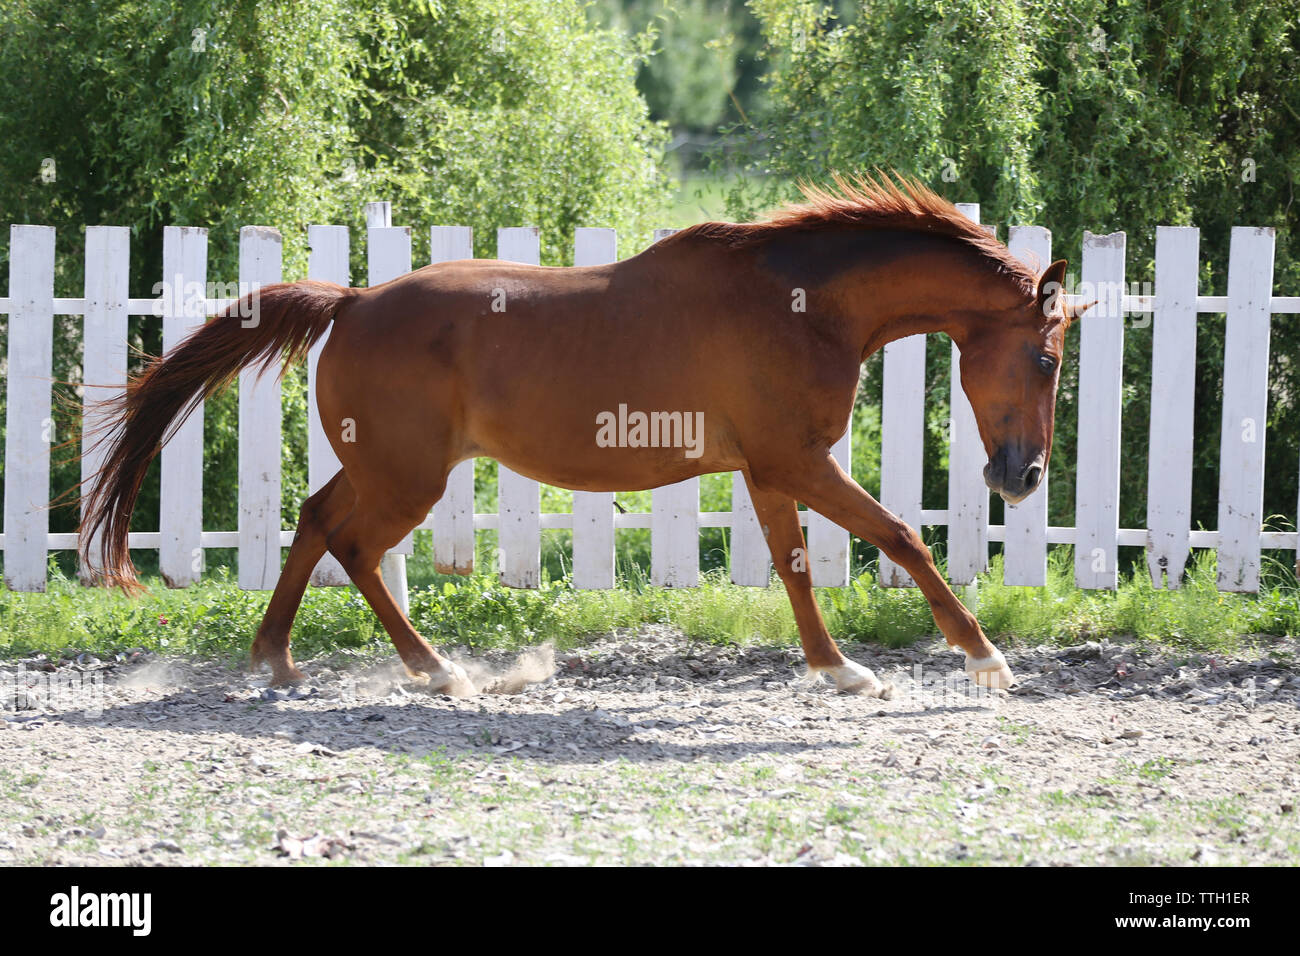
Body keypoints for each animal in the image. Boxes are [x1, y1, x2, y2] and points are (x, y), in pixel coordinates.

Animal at [79, 174, 1090, 697]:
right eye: (1046, 360)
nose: (1023, 477)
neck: (800, 303)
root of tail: (354, 302)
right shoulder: (797, 461)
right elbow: (901, 536)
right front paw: (982, 657)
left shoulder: (771, 469)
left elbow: (796, 563)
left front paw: (836, 669)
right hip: (408, 478)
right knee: (349, 542)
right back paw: (433, 670)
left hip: (384, 468)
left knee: (318, 521)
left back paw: (284, 659)